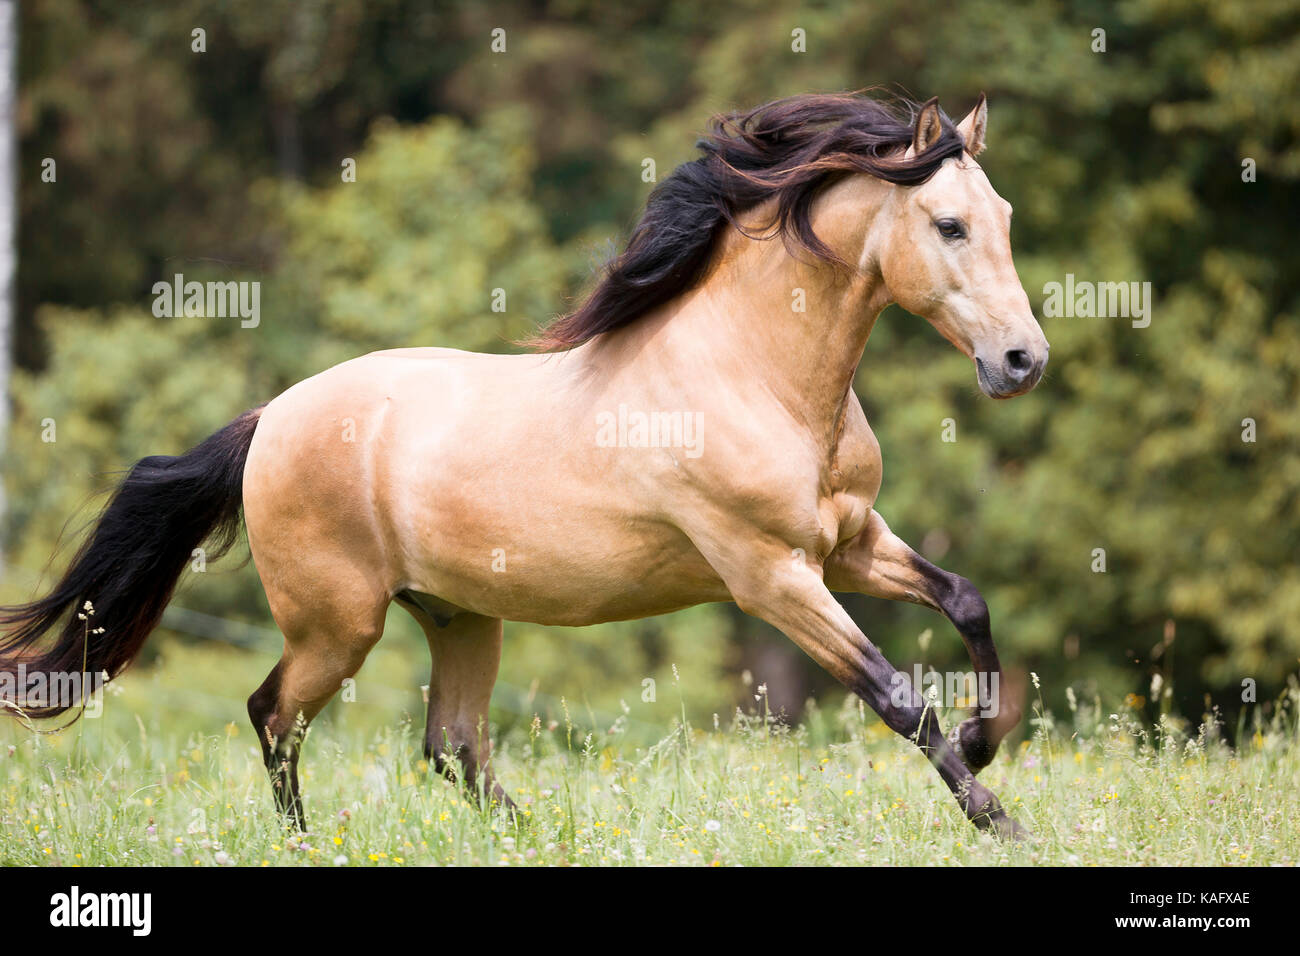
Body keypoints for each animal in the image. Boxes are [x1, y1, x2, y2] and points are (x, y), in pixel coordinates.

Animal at [0, 91, 1048, 840]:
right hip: (338, 625)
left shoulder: (850, 543)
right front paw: (1000, 820)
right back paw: (305, 843)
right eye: (949, 225)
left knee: (450, 745)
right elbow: (896, 697)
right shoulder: (772, 578)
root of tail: (270, 420)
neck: (754, 372)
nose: (1021, 361)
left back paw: (536, 835)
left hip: (459, 615)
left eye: (1003, 212)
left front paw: (985, 742)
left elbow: (967, 602)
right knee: (275, 715)